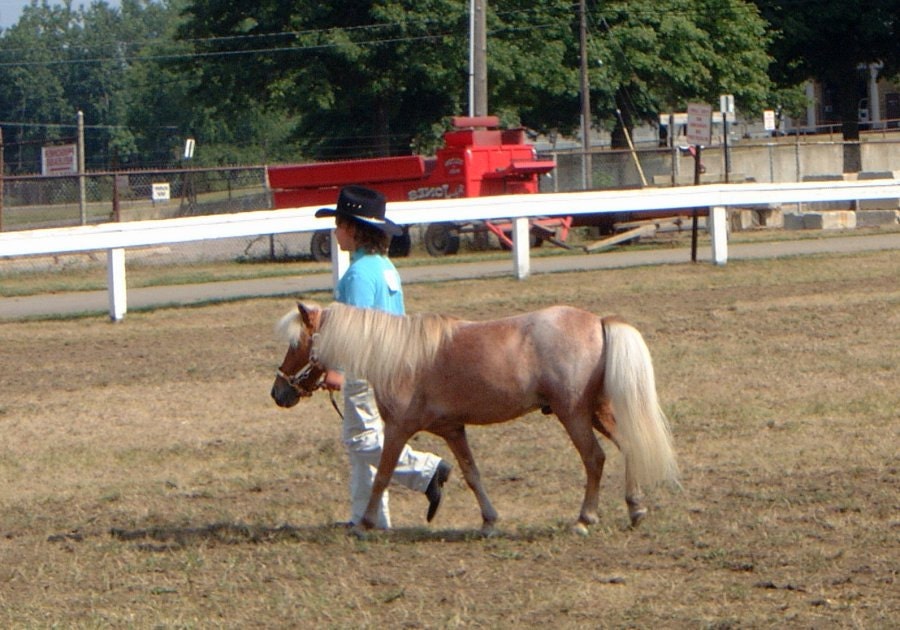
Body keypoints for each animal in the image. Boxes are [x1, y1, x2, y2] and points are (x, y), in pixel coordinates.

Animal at [271, 301, 679, 534]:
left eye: (295, 343)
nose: (278, 392)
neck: (399, 355)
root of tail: (598, 321)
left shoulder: (399, 429)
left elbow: (383, 474)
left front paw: (366, 524)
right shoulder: (453, 430)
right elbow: (471, 474)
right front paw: (489, 520)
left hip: (574, 414)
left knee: (594, 459)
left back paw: (584, 520)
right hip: (597, 412)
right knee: (630, 446)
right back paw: (635, 507)